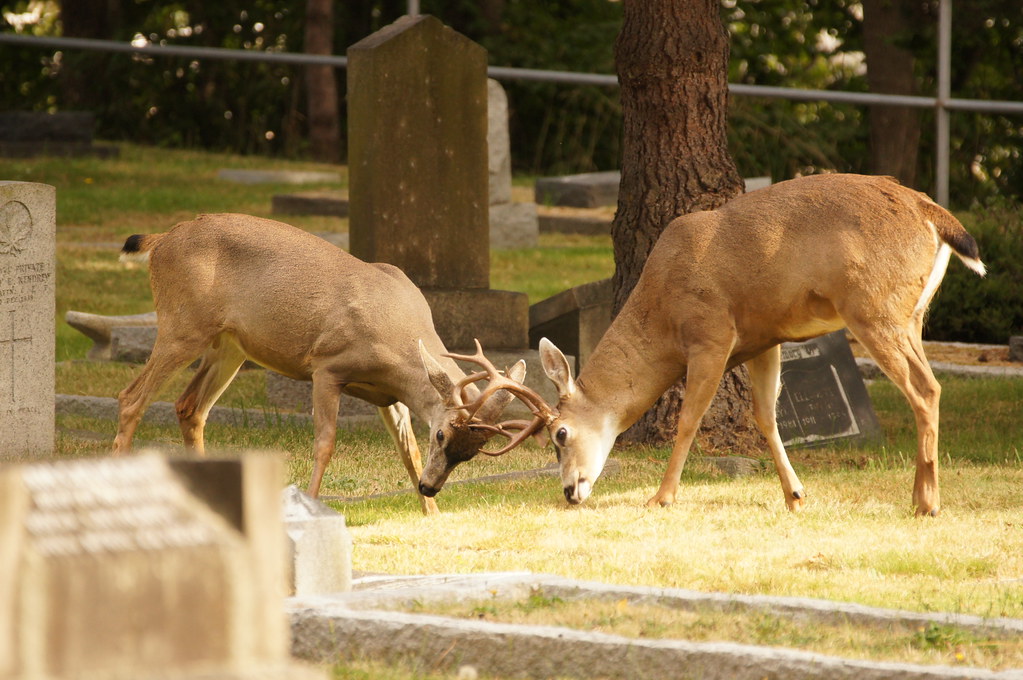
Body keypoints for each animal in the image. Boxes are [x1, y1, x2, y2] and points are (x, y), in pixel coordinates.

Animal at [111, 213, 526, 515]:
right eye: (441, 434)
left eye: (472, 451)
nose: (430, 486)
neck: (398, 338)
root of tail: (162, 240)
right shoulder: (327, 367)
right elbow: (325, 442)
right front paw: (310, 504)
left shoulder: (388, 395)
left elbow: (408, 448)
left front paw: (431, 515)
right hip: (182, 325)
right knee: (131, 398)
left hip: (229, 346)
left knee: (190, 407)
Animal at [416, 174, 987, 517]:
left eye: (559, 433)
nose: (570, 491)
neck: (663, 314)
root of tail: (934, 215)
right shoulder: (764, 338)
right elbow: (766, 416)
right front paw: (795, 495)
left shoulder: (712, 332)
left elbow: (689, 417)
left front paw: (661, 496)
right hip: (910, 315)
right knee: (928, 386)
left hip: (874, 307)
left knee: (926, 389)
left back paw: (926, 501)